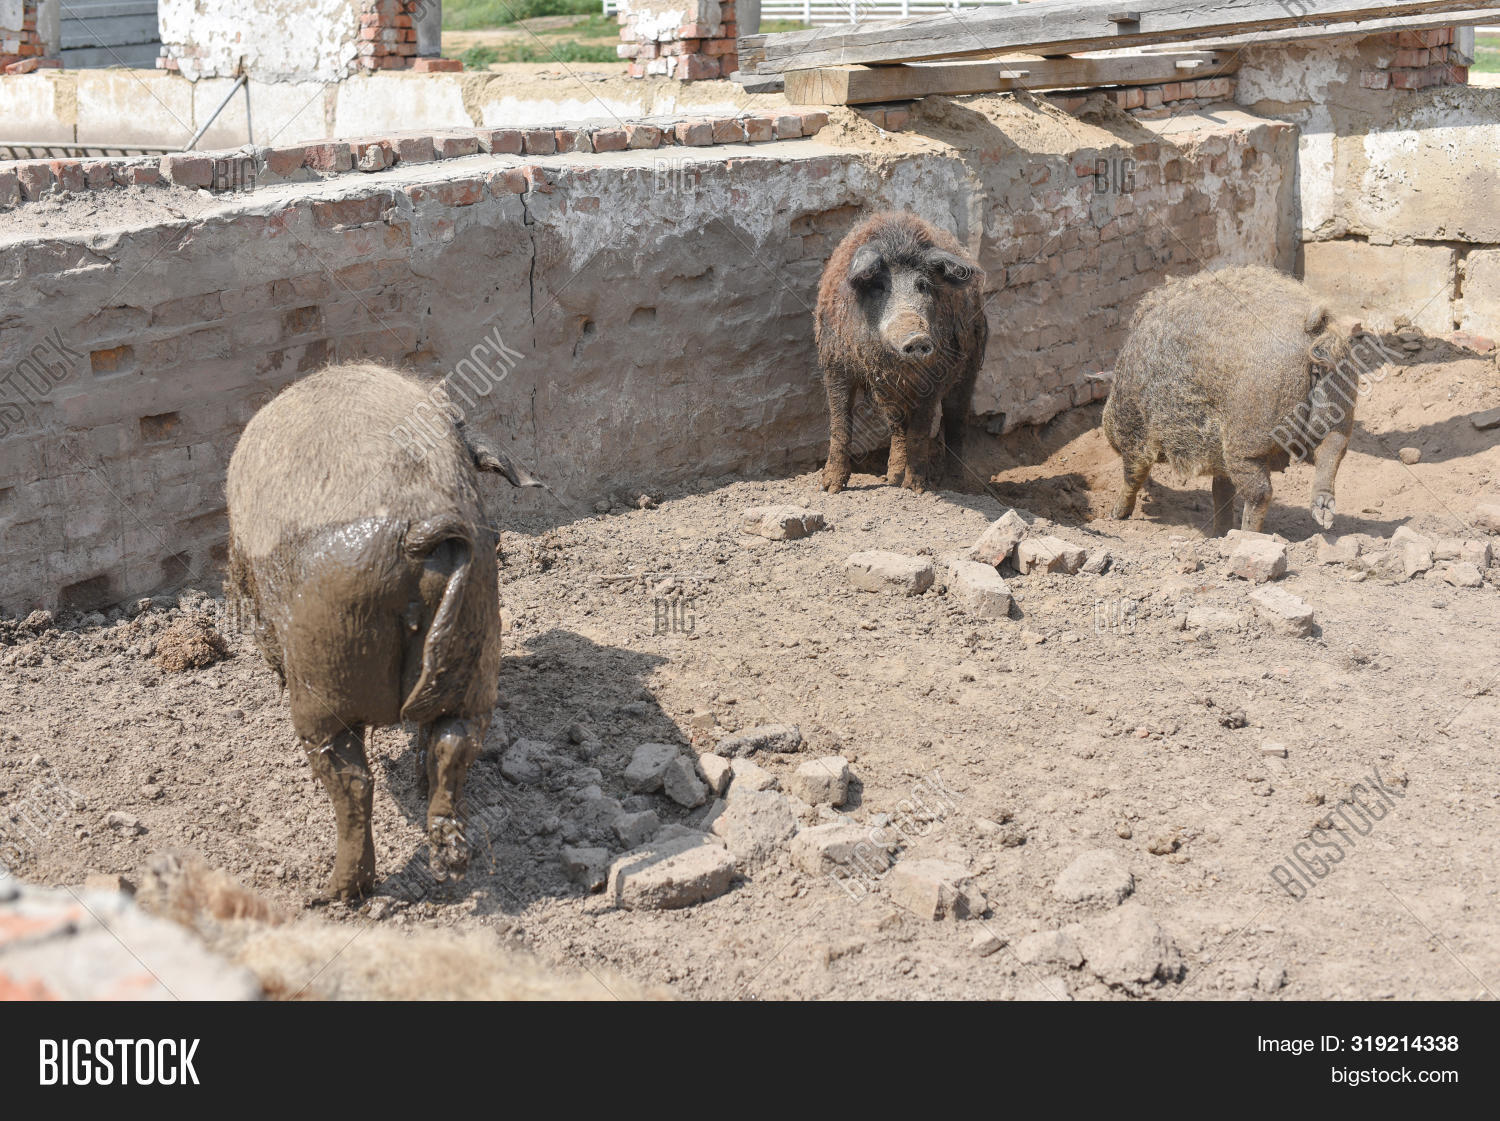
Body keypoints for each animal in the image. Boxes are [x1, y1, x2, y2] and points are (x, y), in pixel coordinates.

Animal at [225, 363, 537, 901]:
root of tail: (412, 534)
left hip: (324, 672)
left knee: (353, 783)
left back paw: (335, 892)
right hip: (477, 641)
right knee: (453, 746)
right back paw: (447, 860)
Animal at [816, 211, 988, 493]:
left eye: (923, 286)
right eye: (879, 286)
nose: (917, 337)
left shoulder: (936, 373)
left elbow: (920, 428)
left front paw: (916, 487)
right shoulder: (835, 361)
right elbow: (840, 422)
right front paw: (830, 488)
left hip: (969, 365)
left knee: (956, 422)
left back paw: (954, 485)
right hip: (888, 389)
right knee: (897, 424)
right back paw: (892, 479)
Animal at [1102, 265, 1367, 536]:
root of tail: (1310, 328)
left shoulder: (1134, 433)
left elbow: (1133, 475)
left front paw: (1116, 514)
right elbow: (1220, 490)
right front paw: (1218, 533)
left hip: (1247, 439)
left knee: (1260, 492)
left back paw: (1247, 534)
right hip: (1340, 404)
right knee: (1333, 448)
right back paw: (1323, 515)